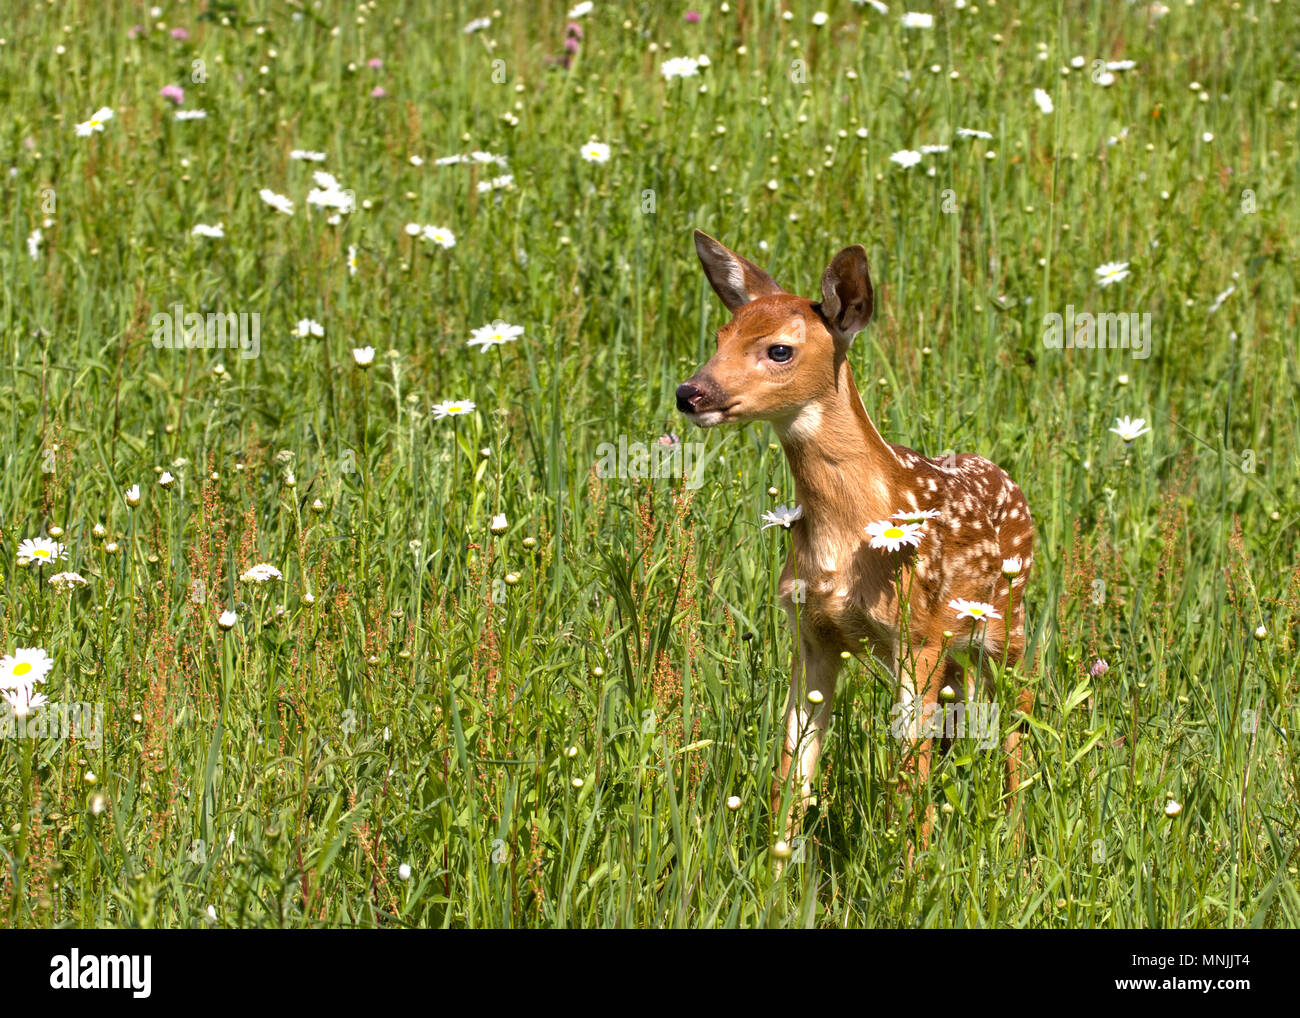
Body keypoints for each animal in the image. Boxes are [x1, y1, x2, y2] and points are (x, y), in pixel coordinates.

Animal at [676, 230, 1035, 861]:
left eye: (779, 350)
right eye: (721, 336)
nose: (690, 393)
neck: (848, 537)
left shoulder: (914, 636)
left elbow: (906, 777)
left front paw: (910, 869)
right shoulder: (811, 635)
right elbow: (791, 775)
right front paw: (778, 868)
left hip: (1007, 628)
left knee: (1020, 731)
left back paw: (1016, 851)